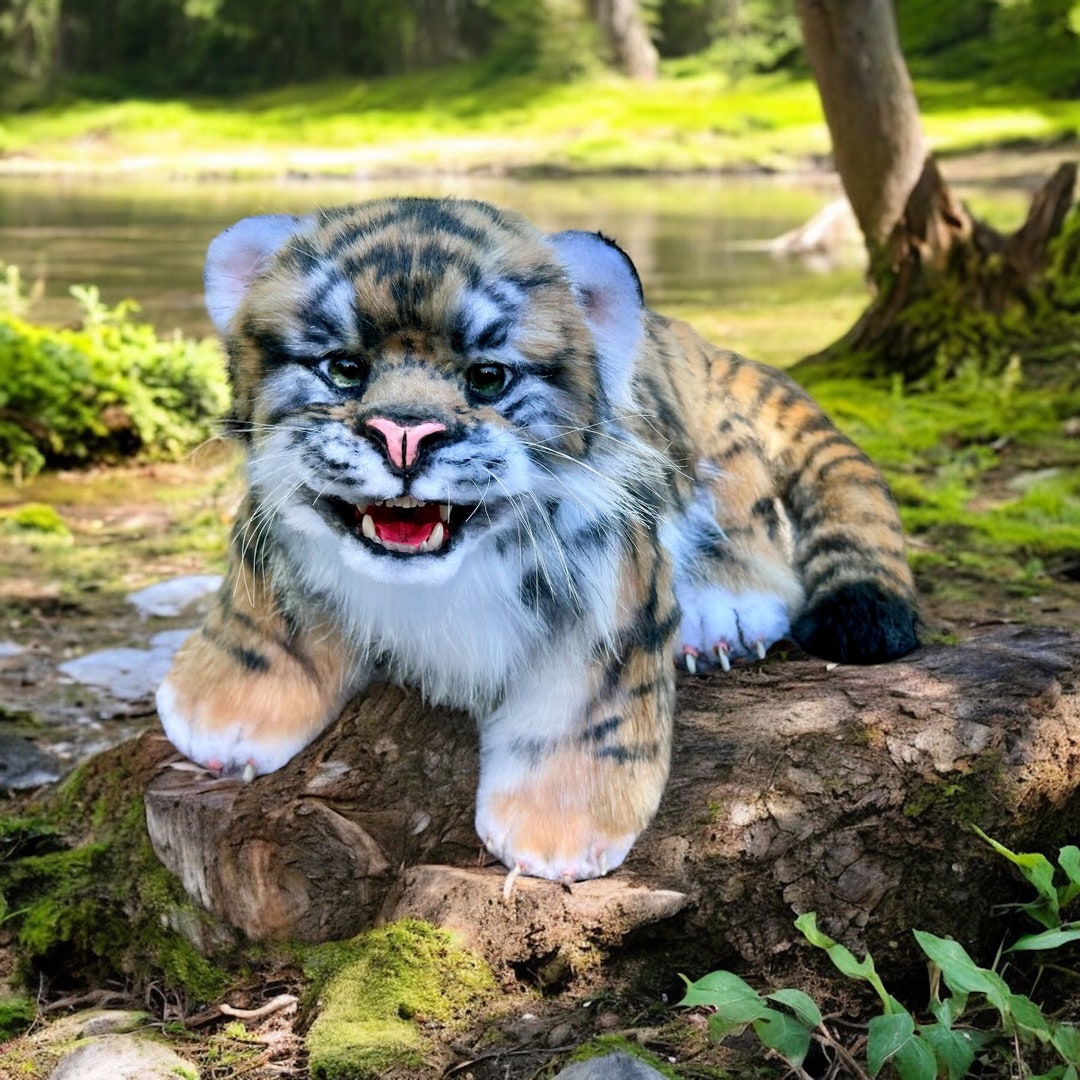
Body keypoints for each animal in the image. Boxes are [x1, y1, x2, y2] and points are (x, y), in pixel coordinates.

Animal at [156, 197, 917, 883]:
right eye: (343, 368)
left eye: (488, 377)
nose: (404, 435)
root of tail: (695, 339)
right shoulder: (275, 528)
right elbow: (265, 624)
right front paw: (219, 718)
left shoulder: (613, 589)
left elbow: (585, 711)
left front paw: (560, 835)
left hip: (720, 462)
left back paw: (724, 617)